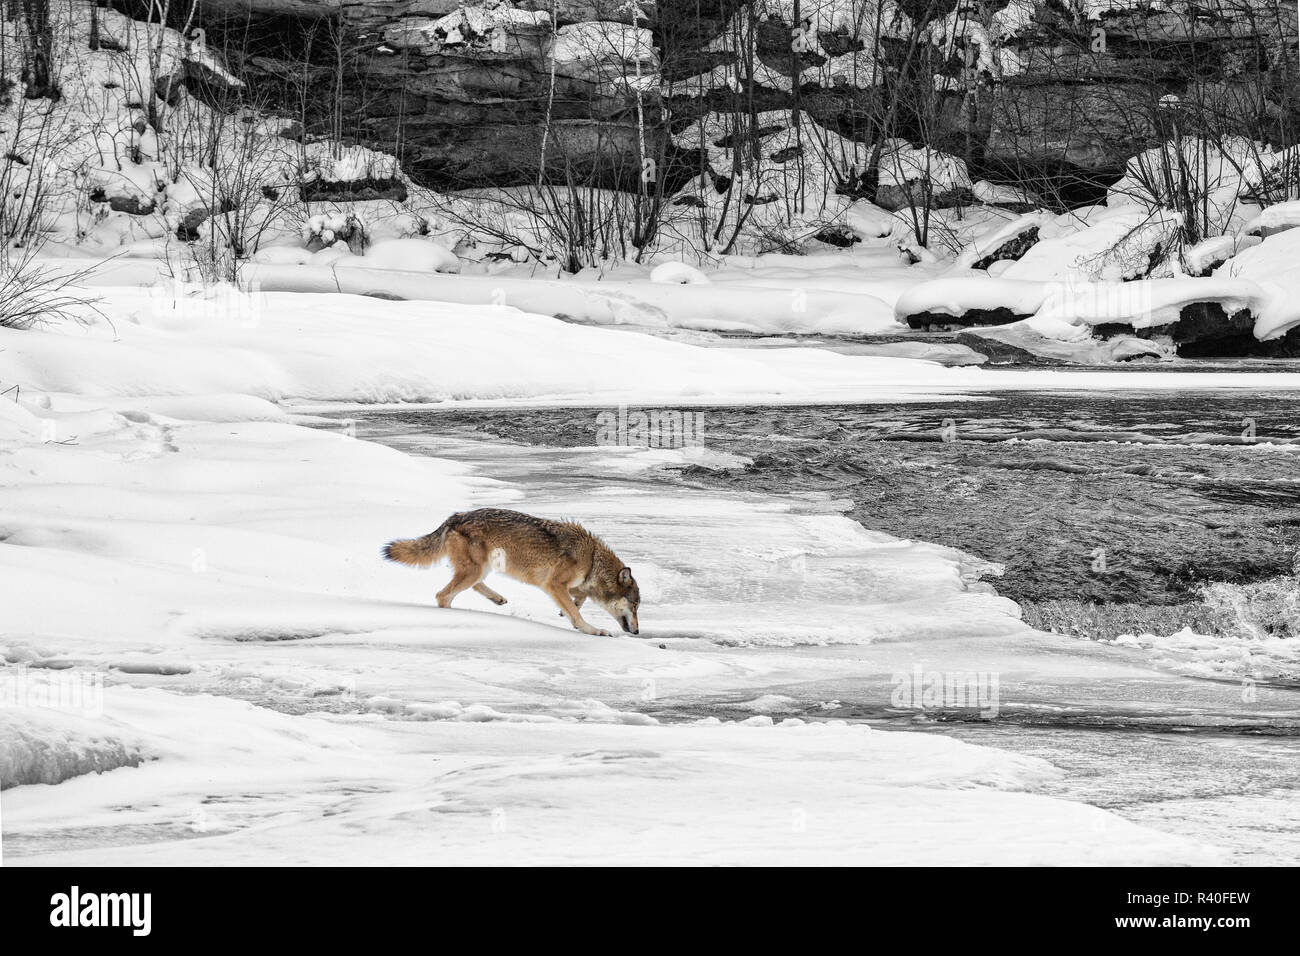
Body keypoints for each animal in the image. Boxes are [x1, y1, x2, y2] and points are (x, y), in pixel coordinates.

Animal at [383, 508, 640, 637]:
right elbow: (576, 613)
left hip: (481, 569)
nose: (637, 632)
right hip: (475, 570)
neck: (592, 559)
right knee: (442, 595)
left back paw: (497, 599)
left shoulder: (568, 586)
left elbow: (578, 600)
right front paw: (593, 630)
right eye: (635, 606)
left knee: (470, 586)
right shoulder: (553, 584)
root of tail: (455, 517)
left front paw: (568, 611)